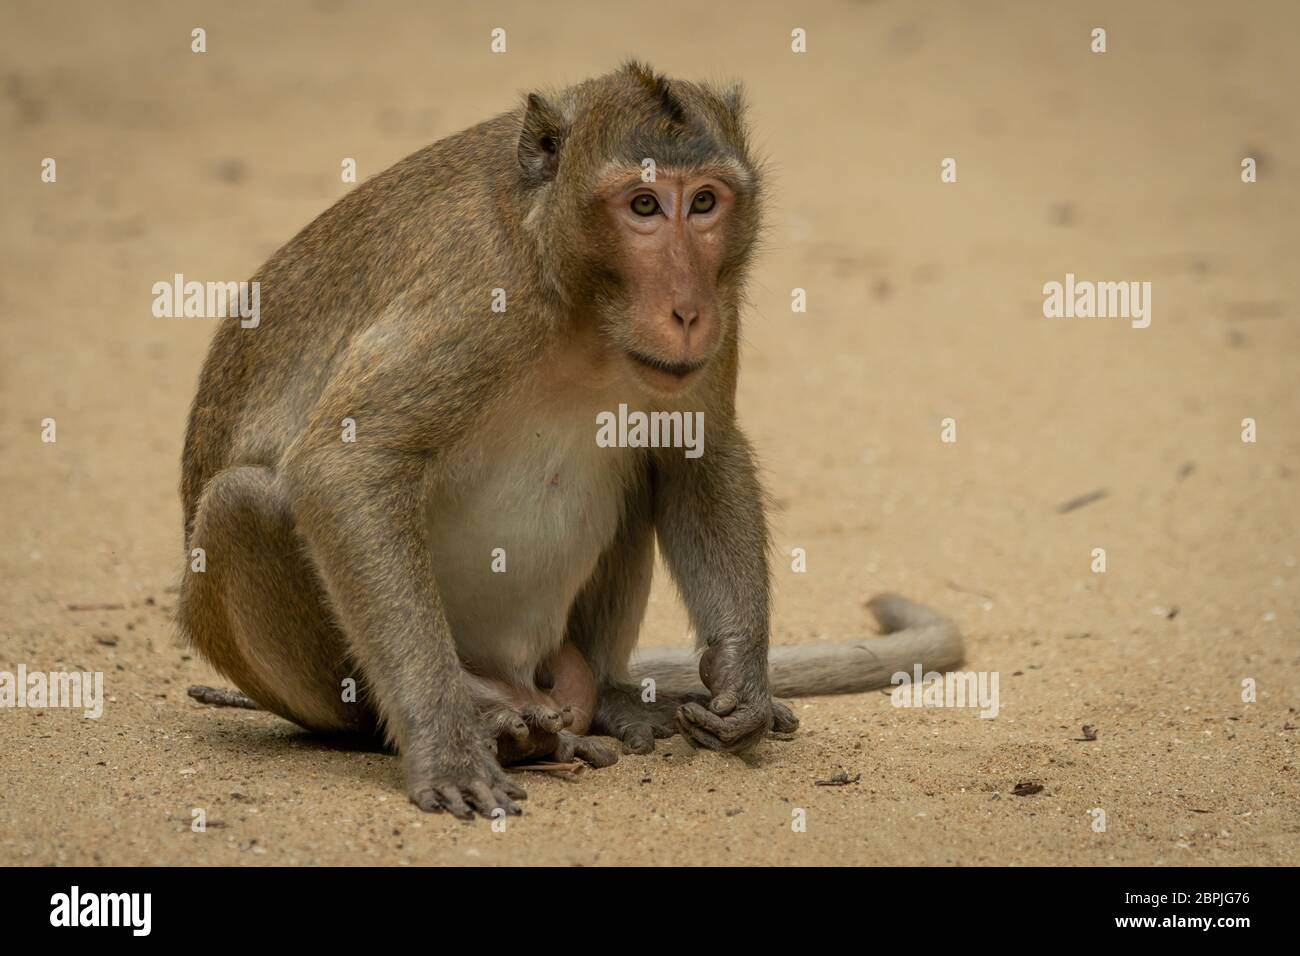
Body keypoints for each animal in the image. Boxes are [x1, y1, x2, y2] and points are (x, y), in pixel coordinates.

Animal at [178, 62, 964, 820]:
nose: (687, 309)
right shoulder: (479, 294)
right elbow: (348, 462)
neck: (582, 306)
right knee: (242, 505)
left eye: (704, 203)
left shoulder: (726, 297)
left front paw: (743, 677)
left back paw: (613, 699)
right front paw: (445, 745)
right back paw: (477, 721)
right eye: (643, 207)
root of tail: (522, 674)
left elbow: (696, 447)